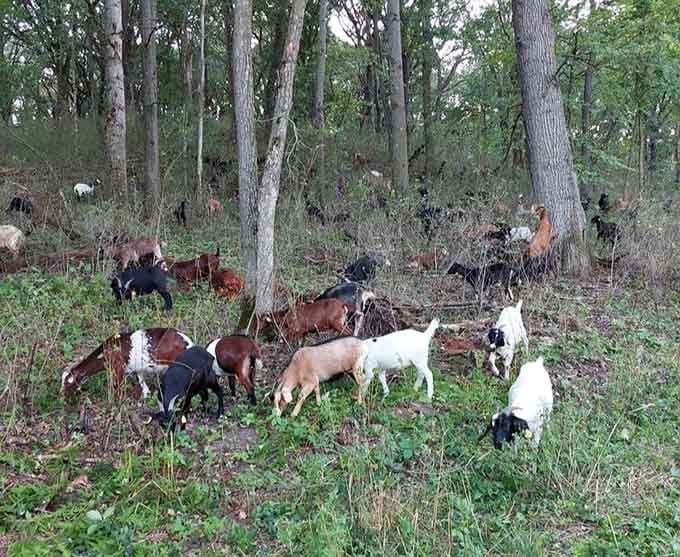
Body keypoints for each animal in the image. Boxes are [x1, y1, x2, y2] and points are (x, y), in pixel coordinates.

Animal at [61, 328, 193, 398]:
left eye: (68, 382)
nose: (62, 394)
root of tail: (188, 342)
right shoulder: (137, 369)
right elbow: (142, 384)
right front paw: (145, 395)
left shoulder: (118, 369)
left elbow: (118, 389)